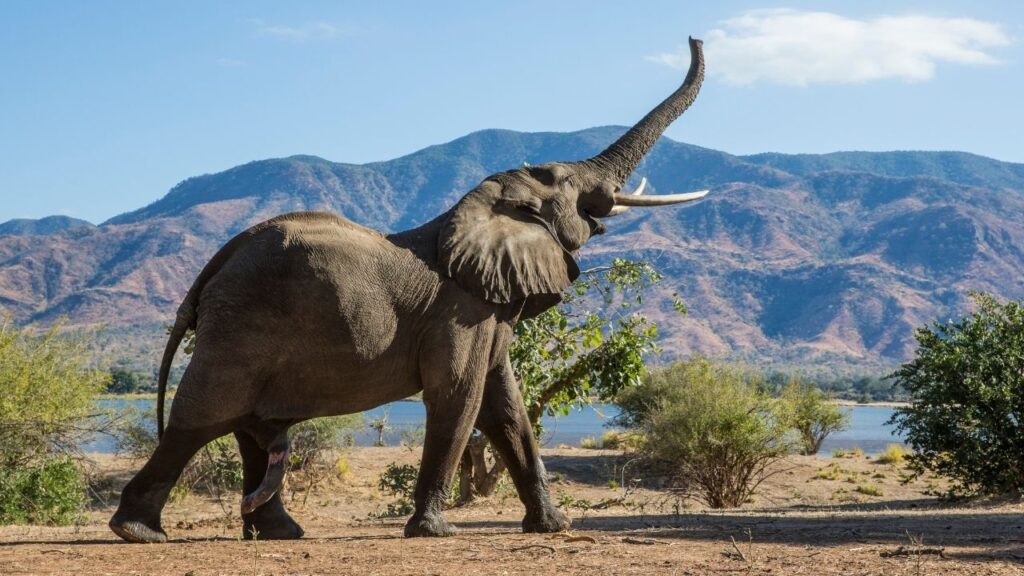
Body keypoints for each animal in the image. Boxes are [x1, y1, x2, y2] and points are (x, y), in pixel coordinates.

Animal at [109, 37, 706, 544]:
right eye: (566, 182)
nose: (696, 37)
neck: (477, 209)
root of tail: (213, 267)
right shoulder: (460, 313)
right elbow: (459, 397)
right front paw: (435, 532)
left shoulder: (487, 310)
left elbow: (506, 407)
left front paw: (553, 527)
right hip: (241, 325)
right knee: (201, 418)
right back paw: (138, 532)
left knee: (248, 428)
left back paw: (279, 533)